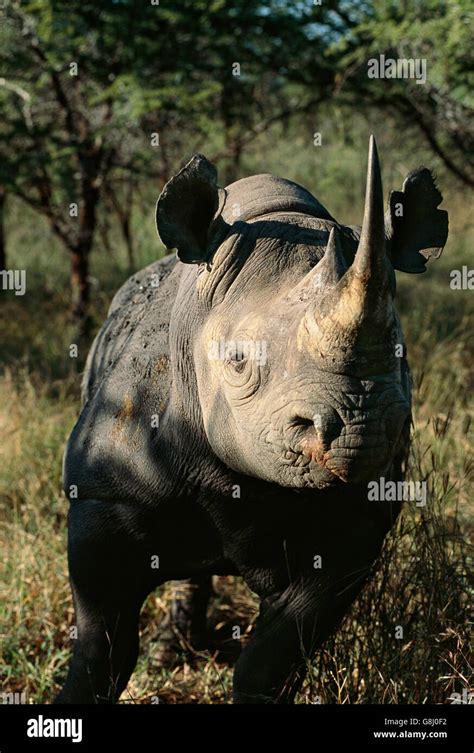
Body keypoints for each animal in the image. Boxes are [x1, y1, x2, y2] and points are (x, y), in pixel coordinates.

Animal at [56, 136, 448, 704]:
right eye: (238, 361)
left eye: (400, 356)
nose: (360, 431)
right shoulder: (103, 492)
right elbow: (100, 647)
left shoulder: (357, 522)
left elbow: (272, 657)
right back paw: (172, 650)